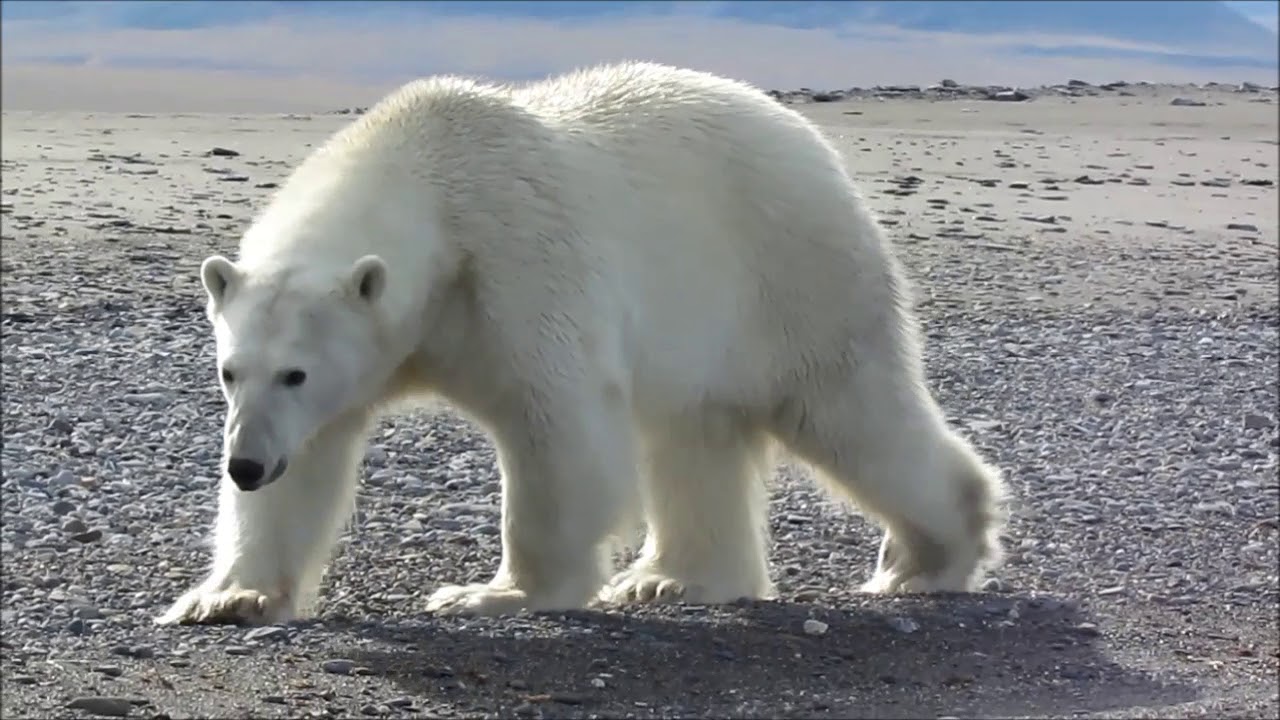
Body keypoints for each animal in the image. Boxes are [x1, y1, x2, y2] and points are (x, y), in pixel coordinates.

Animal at [157, 61, 1007, 625]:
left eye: (295, 374)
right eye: (230, 372)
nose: (244, 464)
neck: (429, 177)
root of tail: (811, 142)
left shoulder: (517, 267)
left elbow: (557, 429)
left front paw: (492, 591)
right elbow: (307, 466)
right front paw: (226, 597)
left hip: (787, 274)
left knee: (846, 410)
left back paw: (923, 562)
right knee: (692, 437)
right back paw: (672, 578)